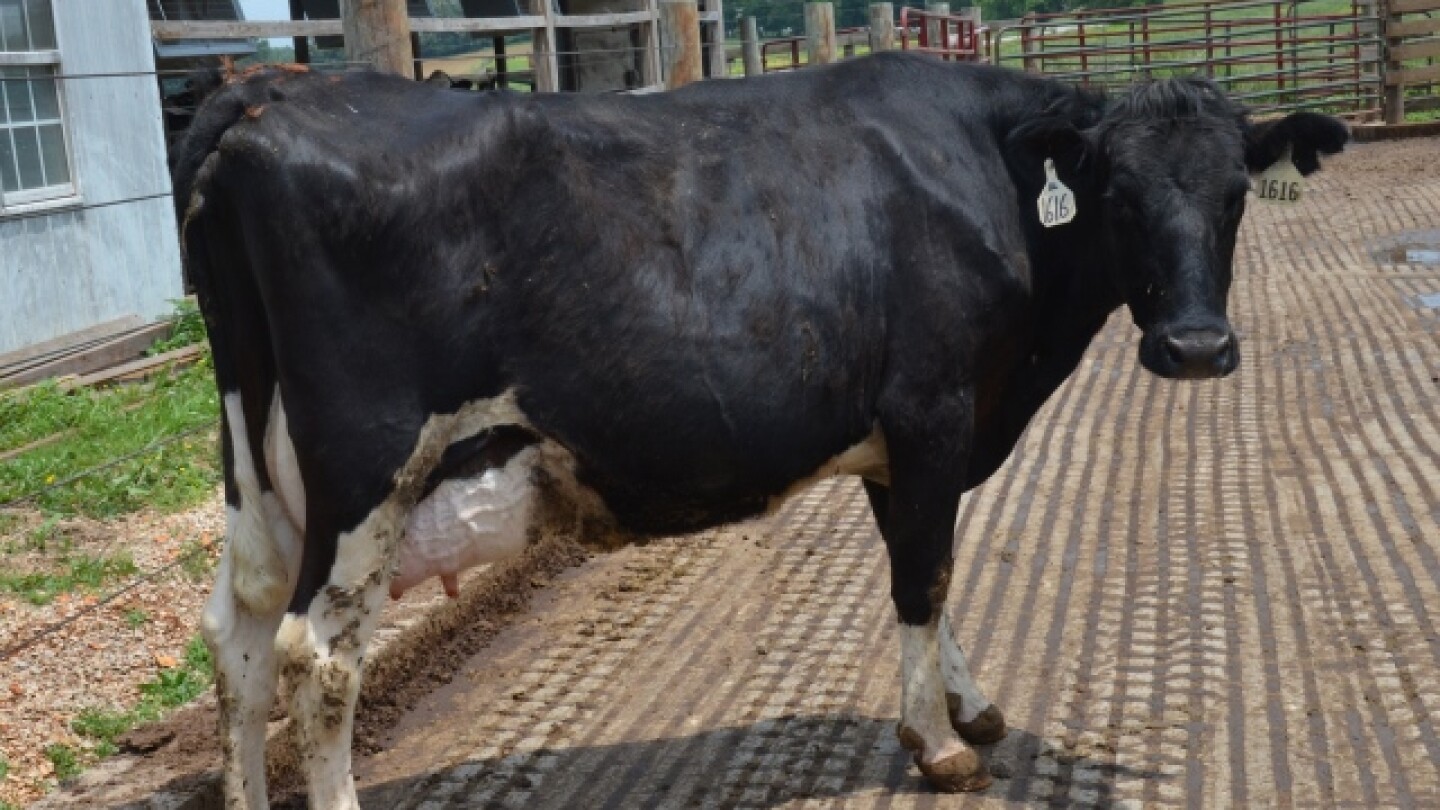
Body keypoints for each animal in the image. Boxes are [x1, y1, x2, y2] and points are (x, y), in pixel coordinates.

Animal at [170, 52, 1348, 808]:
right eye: (1117, 194)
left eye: (1237, 194)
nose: (1195, 347)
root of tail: (270, 90)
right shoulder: (932, 410)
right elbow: (923, 573)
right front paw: (938, 747)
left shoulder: (901, 436)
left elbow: (926, 568)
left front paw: (967, 708)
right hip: (368, 468)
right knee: (320, 656)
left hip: (259, 479)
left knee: (238, 636)